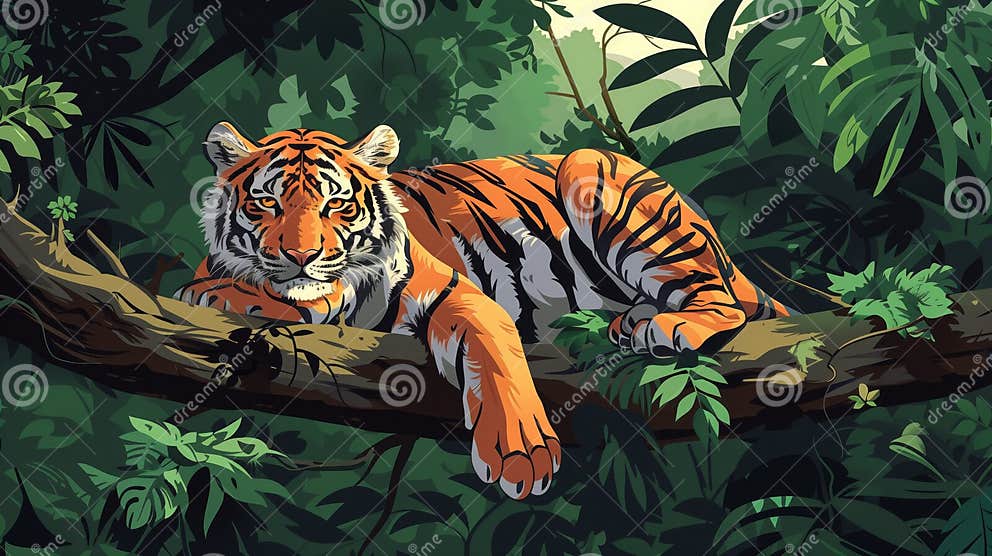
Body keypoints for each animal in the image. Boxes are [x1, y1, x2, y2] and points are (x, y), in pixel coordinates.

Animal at [175, 122, 793, 500]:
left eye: (337, 204)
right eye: (267, 201)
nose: (302, 255)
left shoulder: (458, 293)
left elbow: (497, 352)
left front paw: (523, 453)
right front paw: (234, 292)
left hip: (598, 175)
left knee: (723, 302)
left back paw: (668, 322)